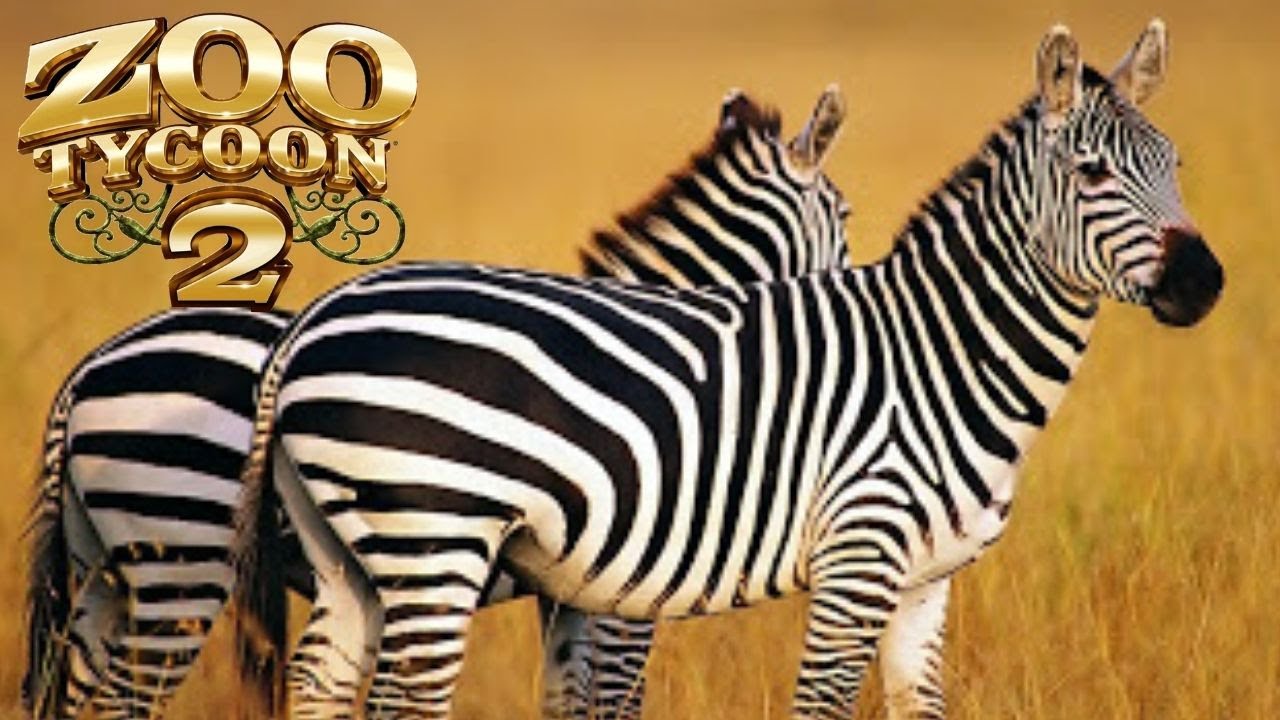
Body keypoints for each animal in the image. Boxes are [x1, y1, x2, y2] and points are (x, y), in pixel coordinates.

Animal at [25, 86, 852, 720]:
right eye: (844, 219)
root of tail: (84, 376)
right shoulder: (625, 583)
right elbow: (615, 699)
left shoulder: (570, 590)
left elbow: (567, 696)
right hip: (182, 551)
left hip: (103, 568)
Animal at [233, 19, 1223, 720]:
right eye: (1092, 173)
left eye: (1175, 163)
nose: (1204, 283)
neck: (940, 355)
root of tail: (310, 323)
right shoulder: (847, 560)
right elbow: (804, 705)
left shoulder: (924, 584)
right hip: (433, 536)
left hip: (349, 555)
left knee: (323, 681)